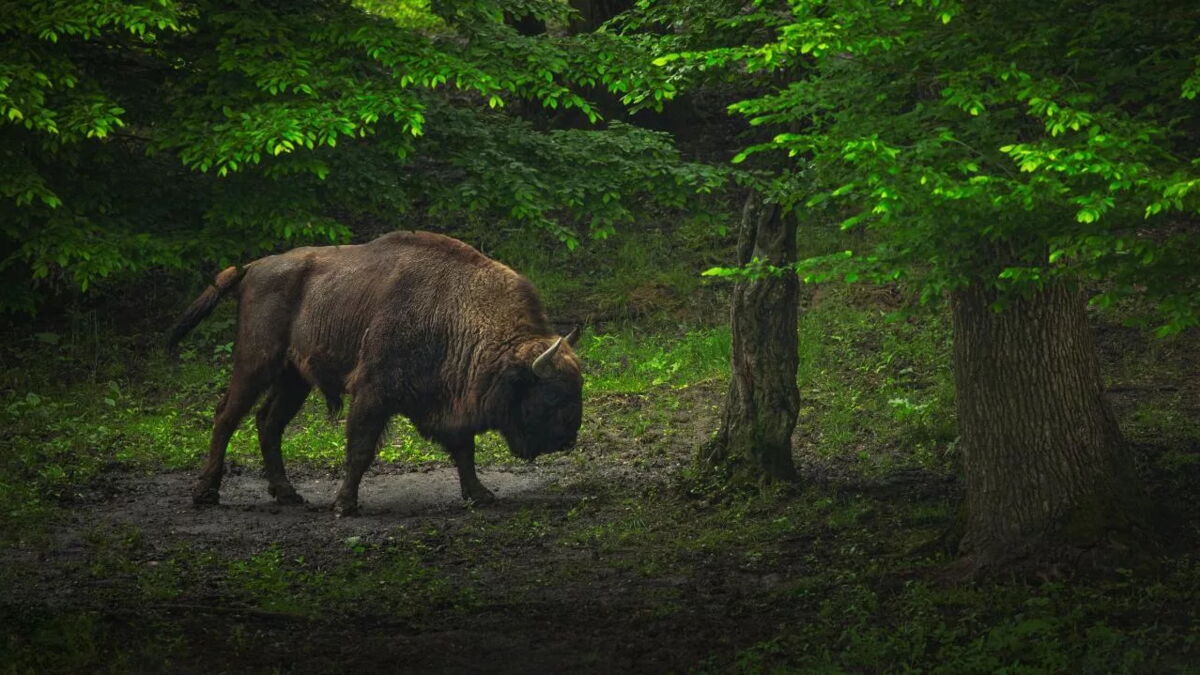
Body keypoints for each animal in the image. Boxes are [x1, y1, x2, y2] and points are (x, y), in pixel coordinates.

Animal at [167, 231, 583, 516]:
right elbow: (361, 449)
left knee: (268, 422)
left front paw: (480, 495)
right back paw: (206, 493)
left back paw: (287, 493)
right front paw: (344, 505)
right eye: (551, 393)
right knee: (226, 416)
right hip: (255, 363)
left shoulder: (447, 401)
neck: (456, 314)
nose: (567, 439)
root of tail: (254, 267)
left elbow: (464, 450)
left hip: (293, 379)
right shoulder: (372, 393)